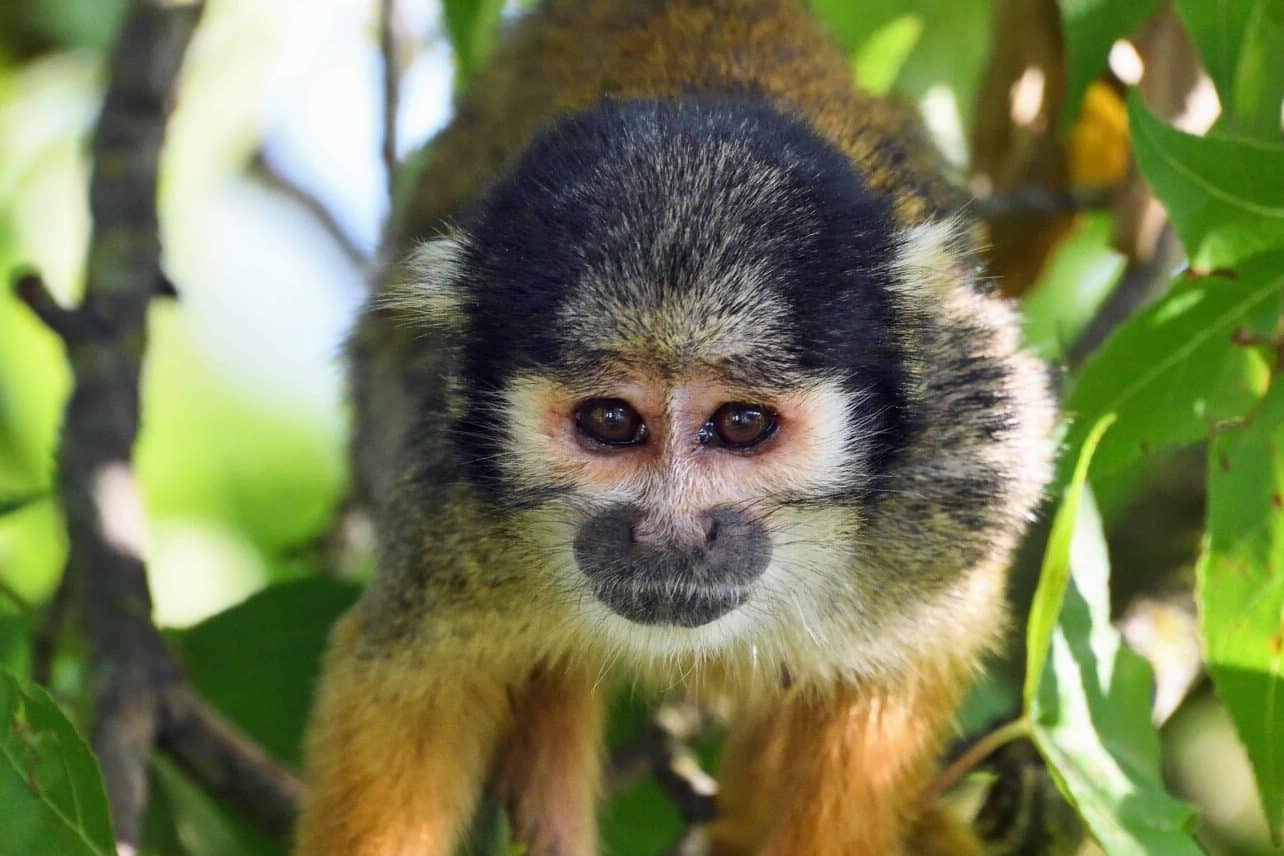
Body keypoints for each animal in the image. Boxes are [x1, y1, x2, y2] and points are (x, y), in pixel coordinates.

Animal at [294, 1, 1055, 853]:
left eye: (743, 423)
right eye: (612, 421)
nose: (670, 534)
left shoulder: (960, 468)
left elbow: (890, 682)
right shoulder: (449, 499)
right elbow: (407, 682)